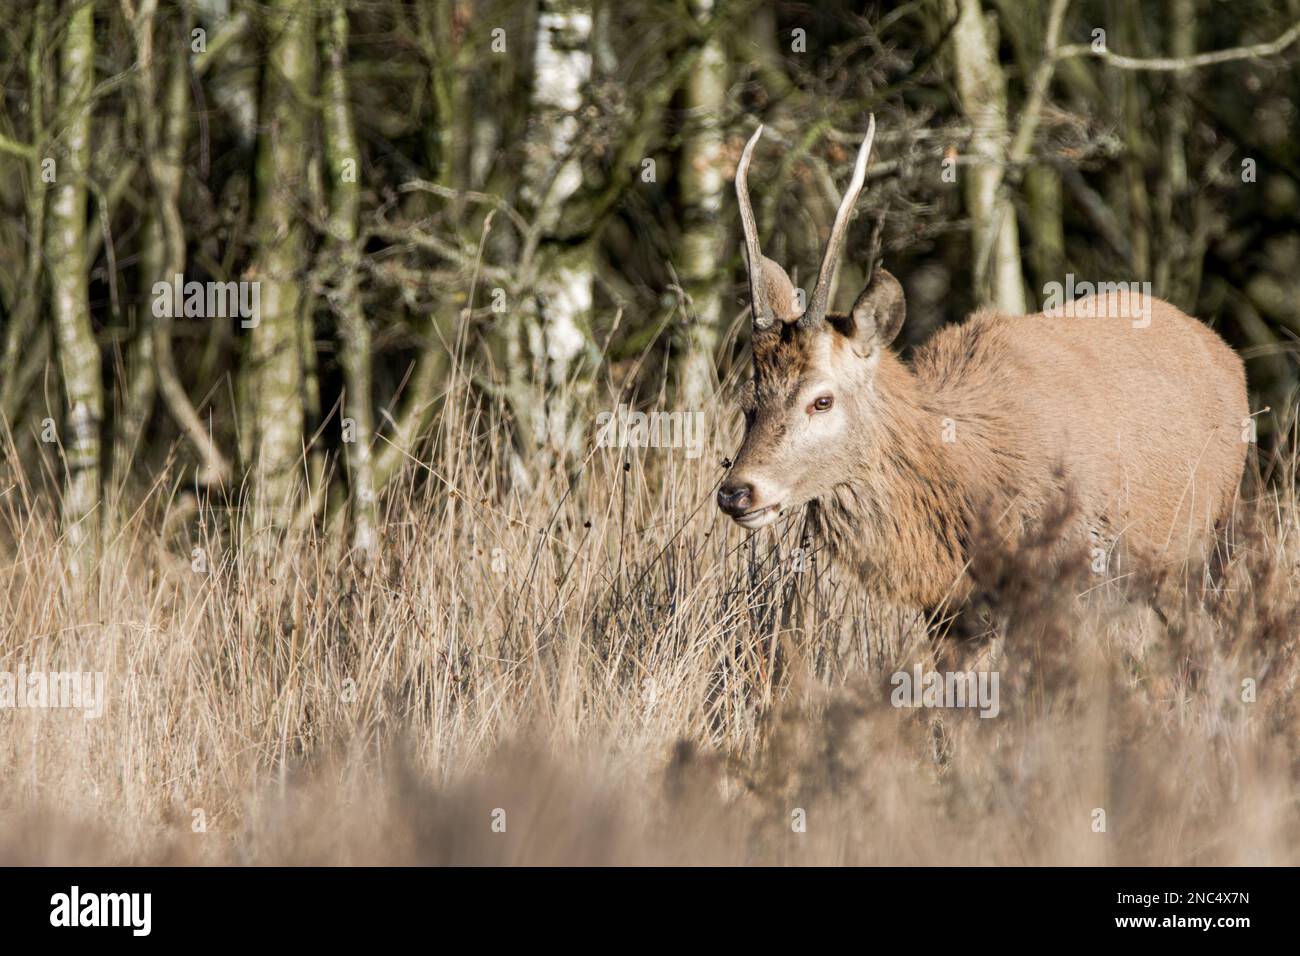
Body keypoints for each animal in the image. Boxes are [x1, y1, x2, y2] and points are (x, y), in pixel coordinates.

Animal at [717, 116, 1248, 617]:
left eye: (822, 400)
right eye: (747, 402)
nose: (736, 493)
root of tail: (1224, 352)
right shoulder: (951, 615)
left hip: (1205, 540)